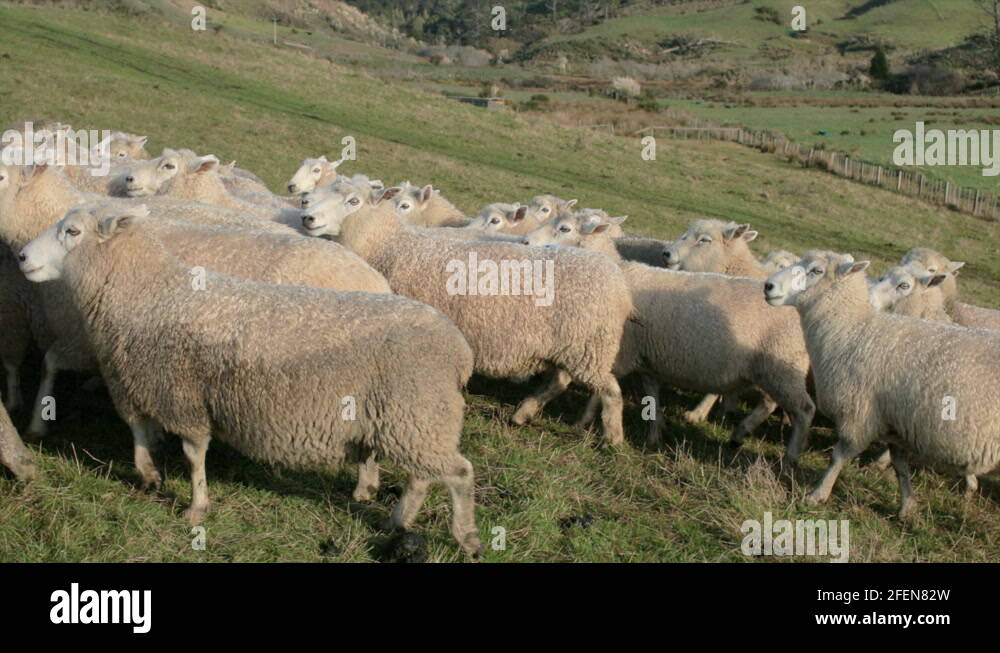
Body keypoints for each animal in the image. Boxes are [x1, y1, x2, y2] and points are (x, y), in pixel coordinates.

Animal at [19, 205, 482, 557]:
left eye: (72, 232)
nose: (21, 257)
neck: (148, 293)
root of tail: (458, 349)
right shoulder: (140, 379)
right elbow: (137, 429)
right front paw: (149, 473)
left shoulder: (182, 396)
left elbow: (193, 455)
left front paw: (195, 508)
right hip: (412, 421)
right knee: (422, 477)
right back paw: (398, 521)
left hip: (417, 417)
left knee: (457, 473)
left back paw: (465, 537)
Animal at [305, 187, 634, 445]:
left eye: (353, 201)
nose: (307, 216)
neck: (385, 243)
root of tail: (619, 283)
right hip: (572, 346)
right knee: (560, 382)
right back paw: (523, 413)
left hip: (589, 347)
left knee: (610, 390)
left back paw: (613, 439)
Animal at [522, 211, 815, 459]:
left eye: (565, 228)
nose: (524, 241)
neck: (616, 271)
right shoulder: (645, 355)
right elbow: (651, 392)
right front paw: (655, 432)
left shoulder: (612, 350)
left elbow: (588, 388)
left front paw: (574, 418)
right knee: (773, 403)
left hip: (781, 368)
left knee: (801, 409)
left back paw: (785, 455)